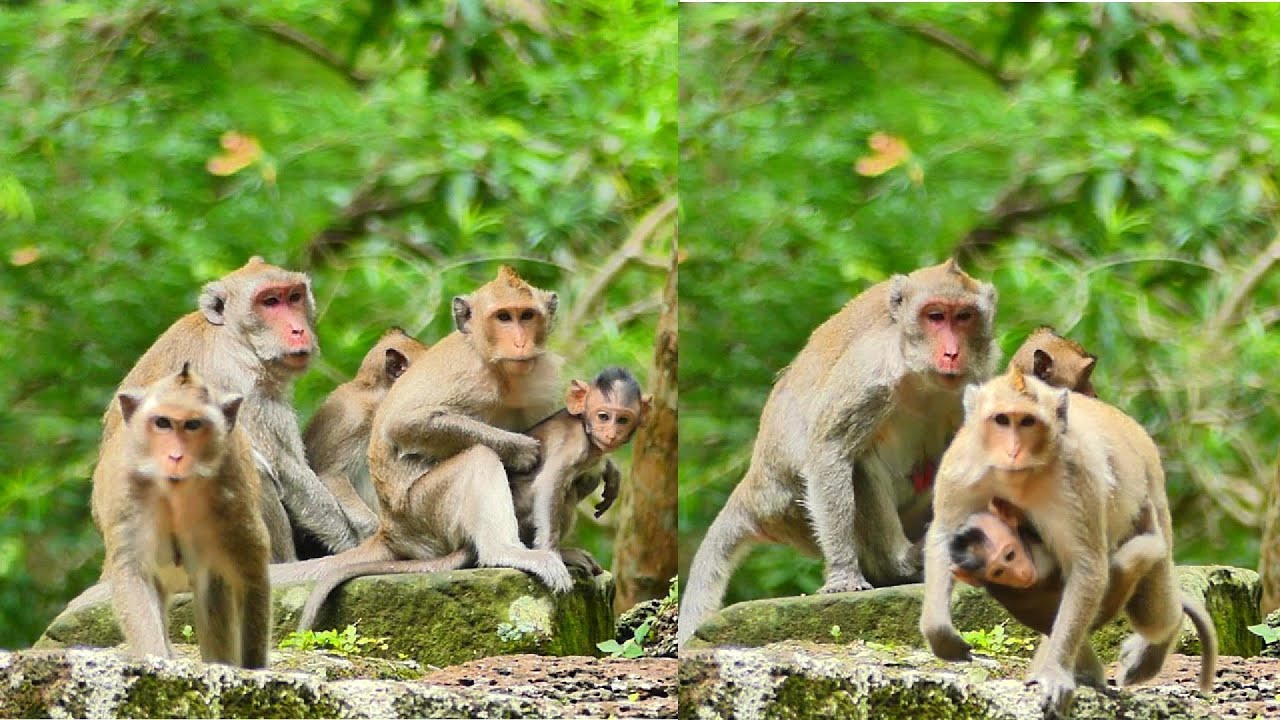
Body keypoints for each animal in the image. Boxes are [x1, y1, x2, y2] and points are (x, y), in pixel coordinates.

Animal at [92, 364, 271, 667]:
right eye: (162, 422)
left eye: (193, 425)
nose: (176, 456)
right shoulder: (126, 492)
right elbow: (132, 571)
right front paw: (156, 660)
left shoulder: (232, 494)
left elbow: (250, 574)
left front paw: (253, 668)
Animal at [95, 257, 363, 562]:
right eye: (270, 301)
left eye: (294, 297)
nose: (299, 330)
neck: (232, 335)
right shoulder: (240, 382)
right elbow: (283, 466)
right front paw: (353, 540)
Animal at [510, 367, 652, 574]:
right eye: (603, 416)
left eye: (623, 420)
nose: (611, 434)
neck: (584, 425)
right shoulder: (575, 443)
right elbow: (549, 485)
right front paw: (551, 555)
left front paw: (612, 473)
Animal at [679, 260, 1000, 647]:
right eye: (935, 316)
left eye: (965, 317)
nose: (952, 353)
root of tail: (756, 484)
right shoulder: (870, 371)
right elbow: (830, 450)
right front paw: (844, 576)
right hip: (795, 509)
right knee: (859, 464)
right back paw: (903, 563)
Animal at [919, 368, 1216, 717]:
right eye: (1002, 420)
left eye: (1027, 421)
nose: (1014, 451)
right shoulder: (962, 466)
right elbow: (943, 532)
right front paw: (939, 633)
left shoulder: (1076, 478)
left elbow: (1086, 564)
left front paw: (1054, 672)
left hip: (1153, 493)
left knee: (1152, 611)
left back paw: (1158, 641)